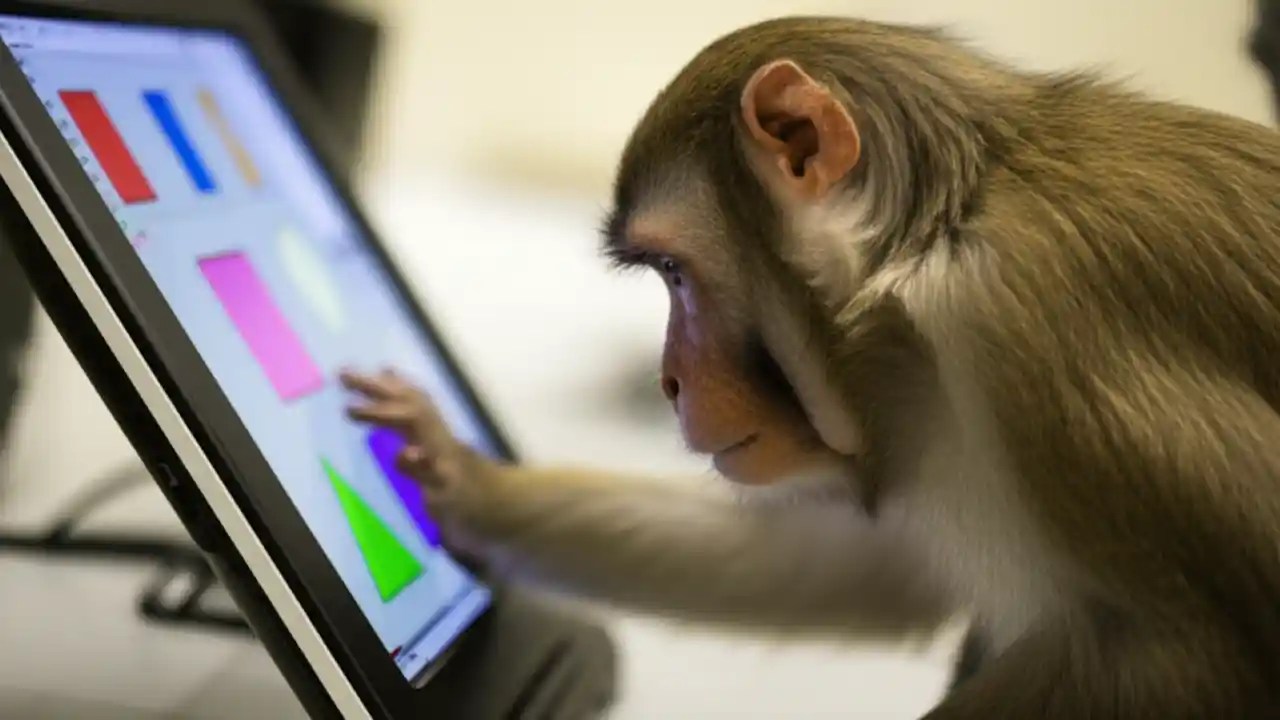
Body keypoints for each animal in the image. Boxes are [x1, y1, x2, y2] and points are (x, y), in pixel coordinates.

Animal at [343, 16, 1280, 718]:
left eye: (673, 271)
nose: (668, 383)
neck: (935, 246)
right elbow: (861, 564)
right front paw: (459, 477)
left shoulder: (1034, 321)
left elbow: (1195, 652)